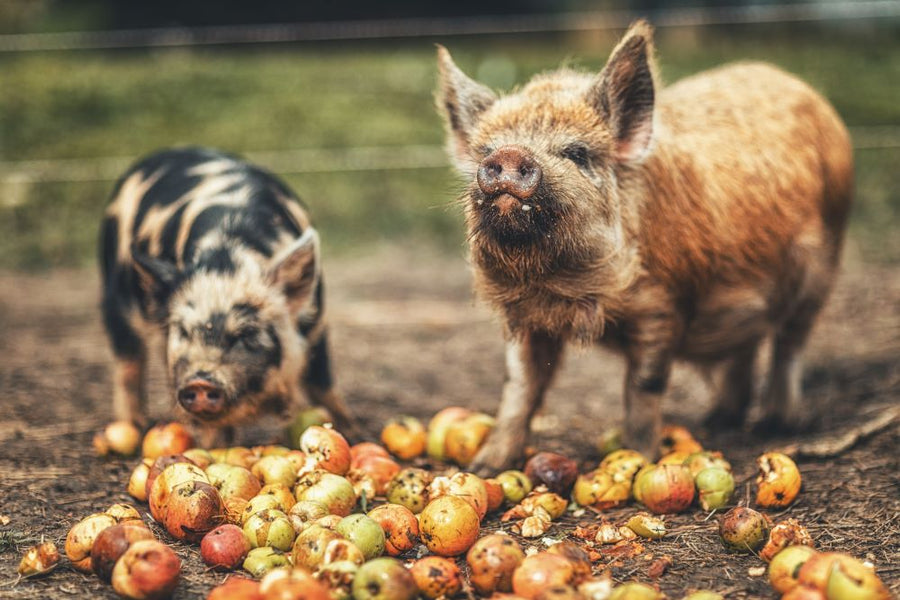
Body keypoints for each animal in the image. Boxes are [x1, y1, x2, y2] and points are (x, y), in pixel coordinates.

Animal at [99, 147, 357, 444]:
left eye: (246, 333)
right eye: (184, 331)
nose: (199, 382)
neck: (229, 261)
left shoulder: (316, 320)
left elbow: (321, 381)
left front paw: (351, 432)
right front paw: (214, 448)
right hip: (114, 295)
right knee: (128, 365)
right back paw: (135, 427)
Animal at [436, 21, 853, 474]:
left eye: (577, 153)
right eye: (487, 150)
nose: (511, 154)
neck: (558, 286)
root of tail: (806, 91)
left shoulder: (660, 306)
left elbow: (644, 387)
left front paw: (638, 460)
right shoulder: (523, 316)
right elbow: (519, 387)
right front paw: (483, 468)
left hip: (824, 261)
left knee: (789, 344)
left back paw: (777, 425)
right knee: (748, 344)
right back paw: (719, 418)